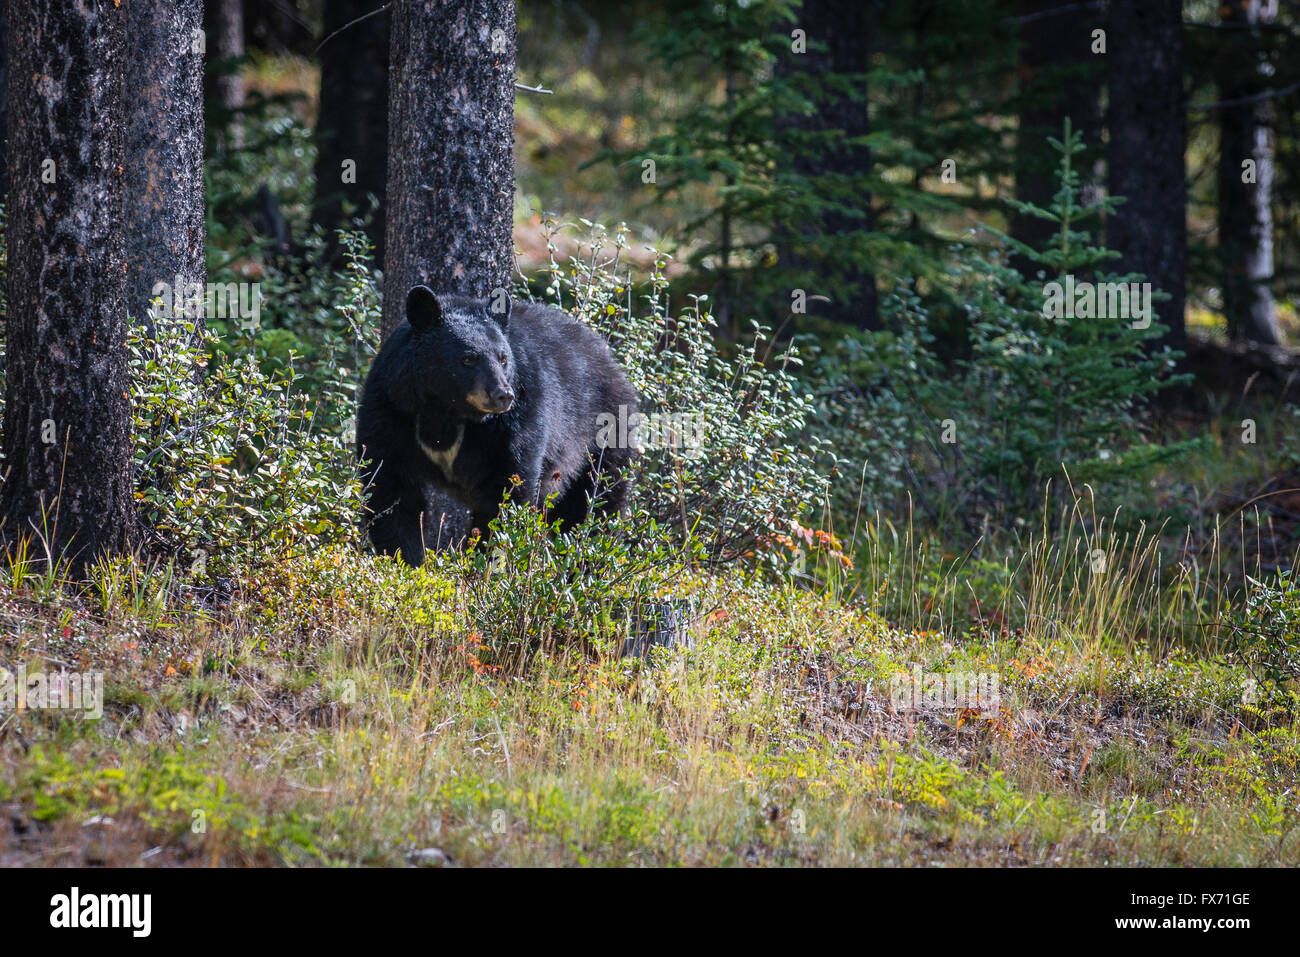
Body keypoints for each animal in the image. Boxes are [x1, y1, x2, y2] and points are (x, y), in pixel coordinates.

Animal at [356, 285, 639, 566]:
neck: (446, 410)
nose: (503, 394)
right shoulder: (392, 405)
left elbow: (508, 488)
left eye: (503, 357)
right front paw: (407, 561)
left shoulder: (516, 419)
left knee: (595, 505)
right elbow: (389, 486)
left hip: (603, 435)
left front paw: (488, 560)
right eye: (468, 358)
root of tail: (611, 361)